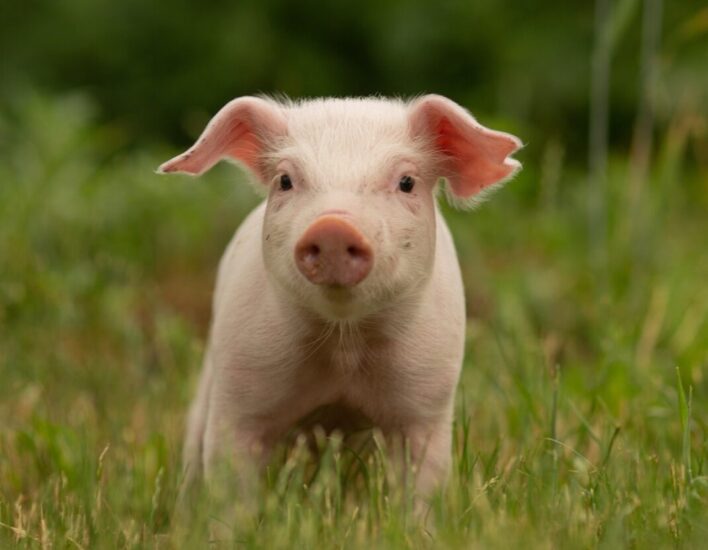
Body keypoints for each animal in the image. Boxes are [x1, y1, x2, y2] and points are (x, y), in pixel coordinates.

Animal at [158, 95, 521, 501]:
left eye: (406, 182)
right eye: (285, 180)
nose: (332, 227)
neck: (344, 346)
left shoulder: (428, 402)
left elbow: (420, 486)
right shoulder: (240, 391)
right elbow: (232, 481)